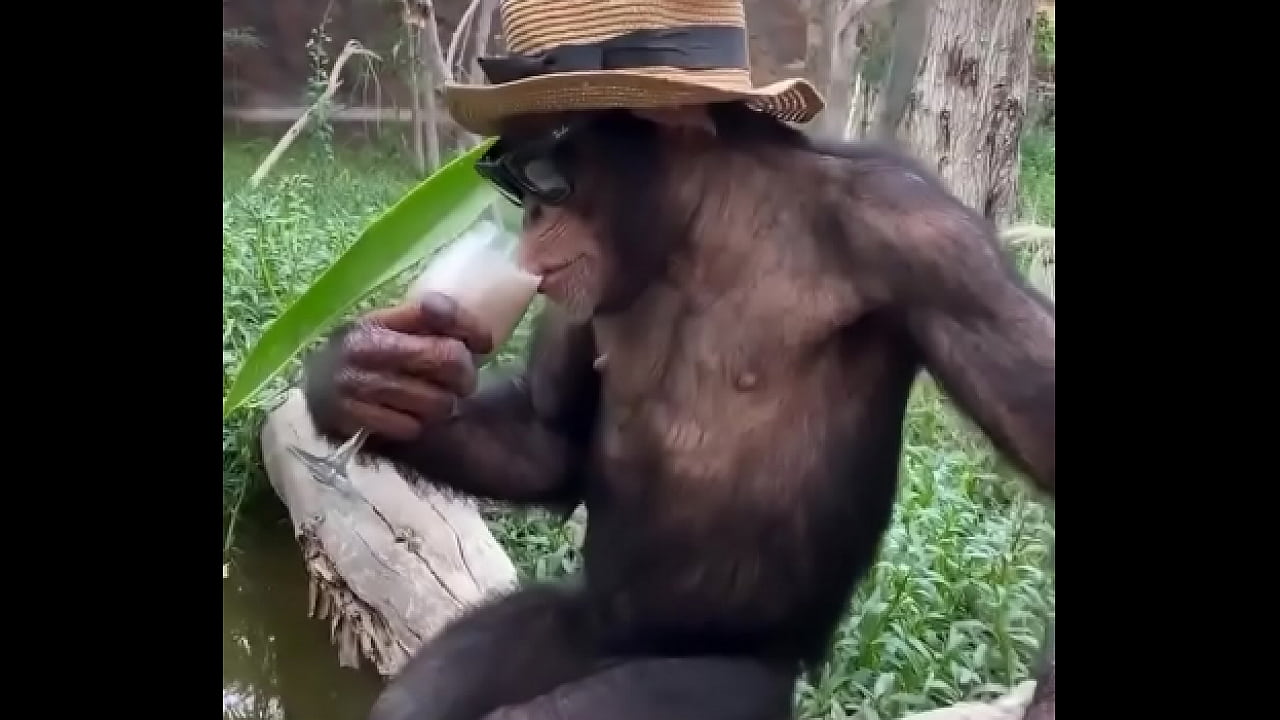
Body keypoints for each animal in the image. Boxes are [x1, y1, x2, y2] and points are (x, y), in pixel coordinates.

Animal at [302, 100, 1055, 720]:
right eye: (511, 179)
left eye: (545, 174)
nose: (531, 218)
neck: (698, 226)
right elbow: (549, 439)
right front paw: (366, 378)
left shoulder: (926, 239)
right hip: (582, 623)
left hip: (723, 684)